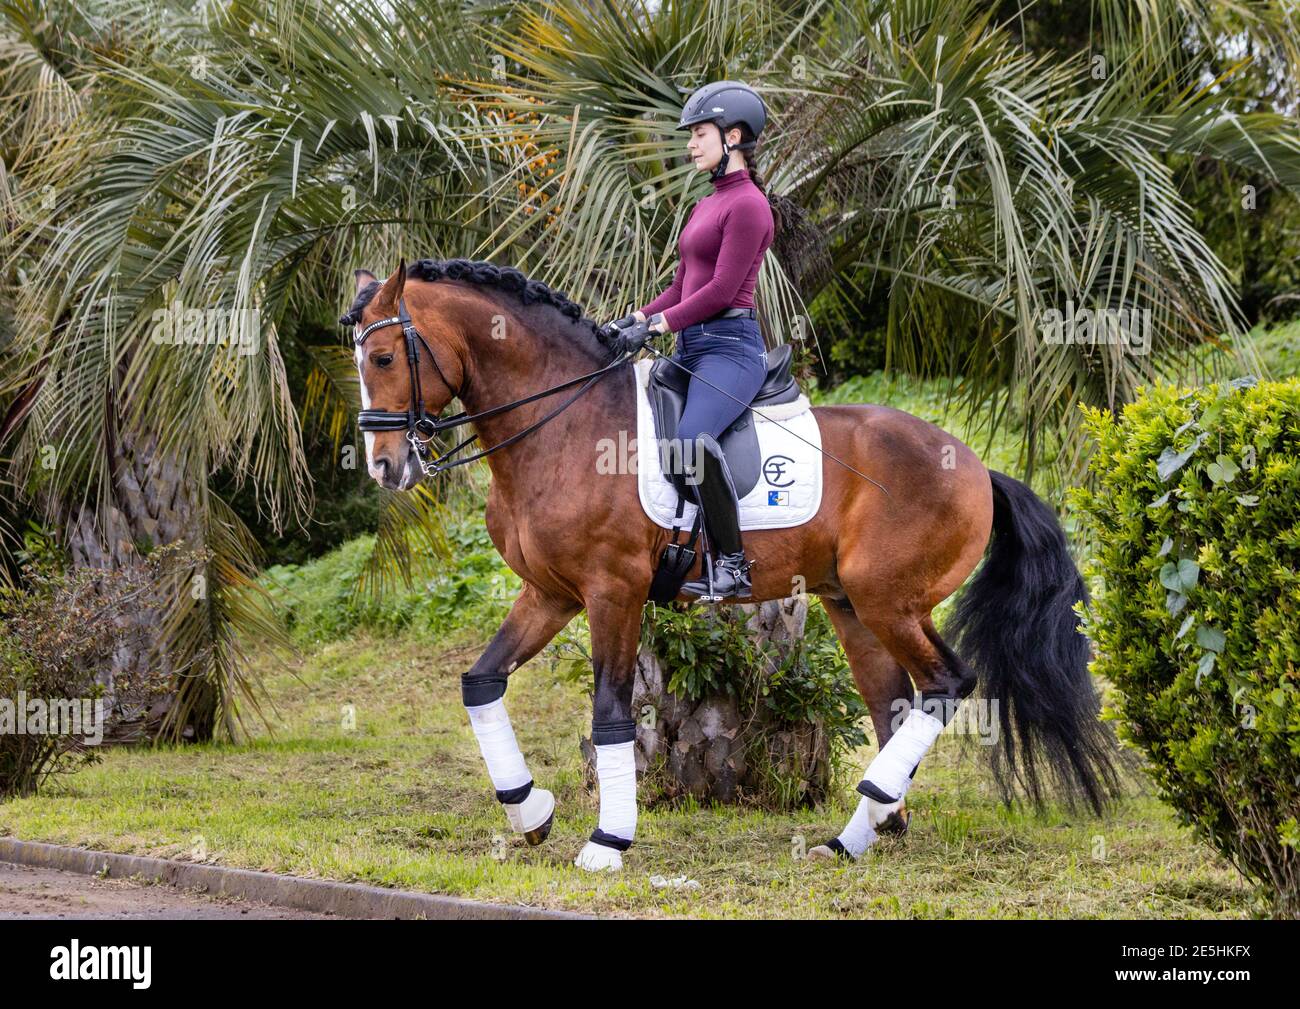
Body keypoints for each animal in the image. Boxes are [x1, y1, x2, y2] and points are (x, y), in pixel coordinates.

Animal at [343, 258, 1121, 871]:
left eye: (382, 360)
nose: (384, 466)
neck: (563, 422)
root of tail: (976, 466)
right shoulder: (549, 593)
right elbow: (481, 683)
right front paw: (529, 813)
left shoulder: (612, 591)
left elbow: (611, 712)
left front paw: (606, 843)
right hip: (853, 604)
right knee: (894, 698)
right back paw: (862, 830)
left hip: (888, 600)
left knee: (947, 683)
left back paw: (867, 813)